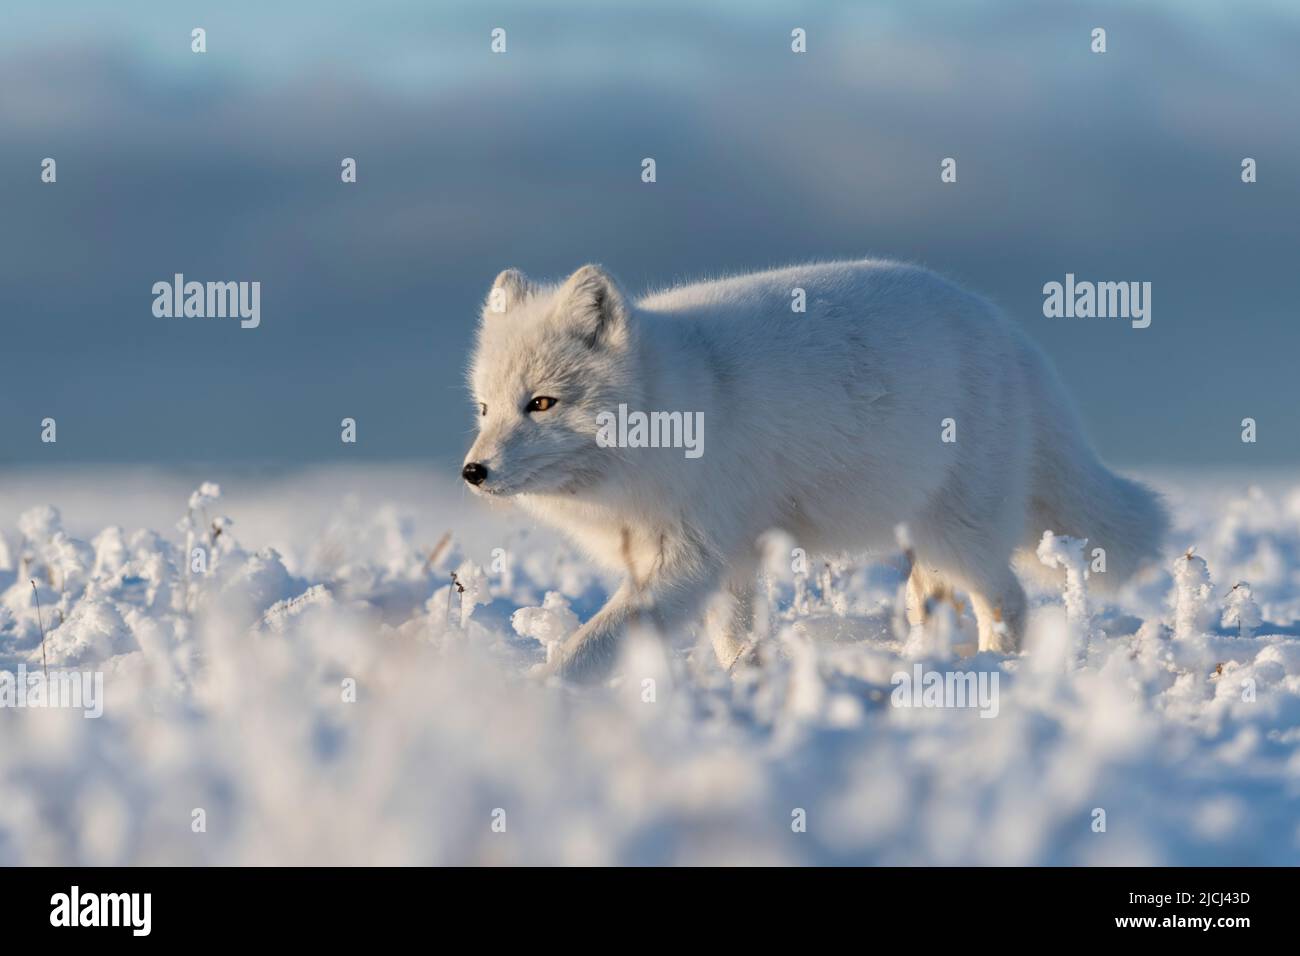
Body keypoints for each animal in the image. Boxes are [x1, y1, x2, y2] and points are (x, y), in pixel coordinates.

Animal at [463, 260, 1168, 681]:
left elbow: (597, 639)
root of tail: (1013, 338)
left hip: (960, 530)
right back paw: (923, 653)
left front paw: (541, 692)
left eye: (542, 403)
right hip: (926, 533)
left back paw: (992, 669)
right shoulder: (729, 559)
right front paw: (742, 679)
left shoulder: (691, 556)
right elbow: (733, 634)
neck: (676, 405)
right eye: (485, 407)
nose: (473, 472)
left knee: (1008, 599)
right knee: (931, 594)